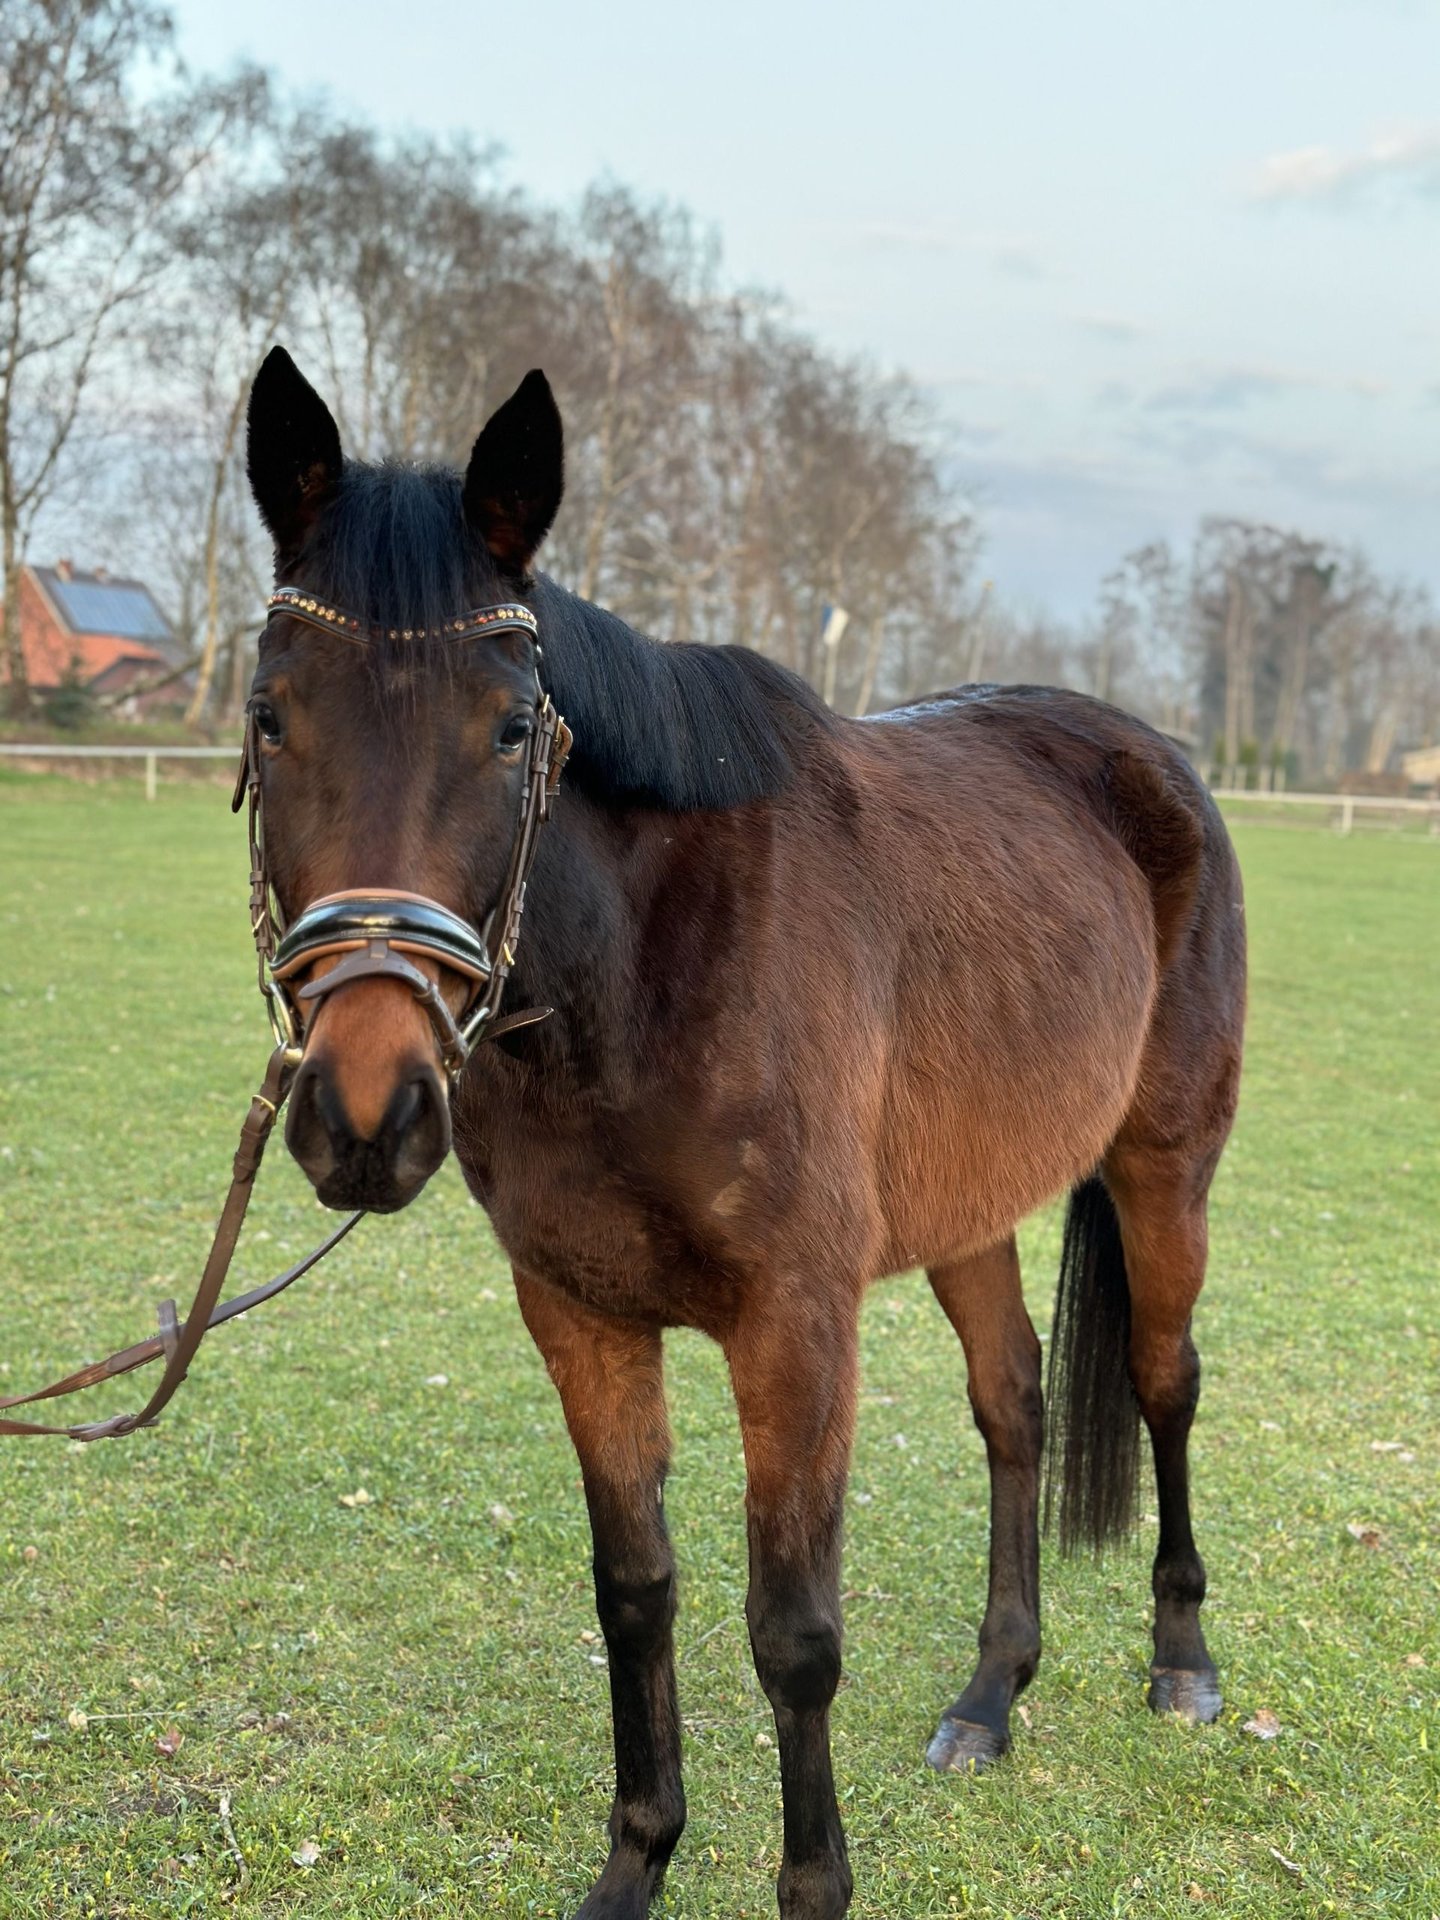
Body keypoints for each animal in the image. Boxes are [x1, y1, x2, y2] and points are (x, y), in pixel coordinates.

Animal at [242, 345, 1246, 1920]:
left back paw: (1184, 1665)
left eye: (512, 728)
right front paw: (635, 1864)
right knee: (1013, 1405)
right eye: (273, 715)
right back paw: (990, 1695)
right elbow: (636, 1592)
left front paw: (811, 1884)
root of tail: (1149, 755)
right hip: (966, 1206)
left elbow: (794, 1634)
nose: (365, 1109)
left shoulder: (794, 1327)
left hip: (1164, 1170)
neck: (639, 973)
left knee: (1163, 1382)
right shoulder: (581, 1315)